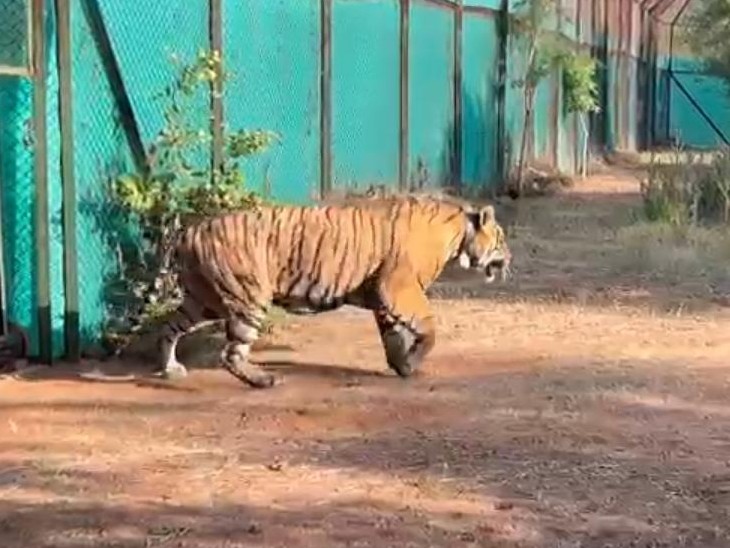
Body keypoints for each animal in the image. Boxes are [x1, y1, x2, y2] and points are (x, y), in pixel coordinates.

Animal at [157, 194, 511, 388]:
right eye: (502, 239)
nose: (509, 260)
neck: (458, 236)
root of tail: (191, 230)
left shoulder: (384, 296)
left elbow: (393, 337)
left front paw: (402, 366)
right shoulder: (398, 287)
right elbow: (429, 327)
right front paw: (413, 361)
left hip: (203, 299)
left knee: (169, 327)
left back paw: (171, 369)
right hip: (248, 299)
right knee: (229, 354)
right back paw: (264, 380)